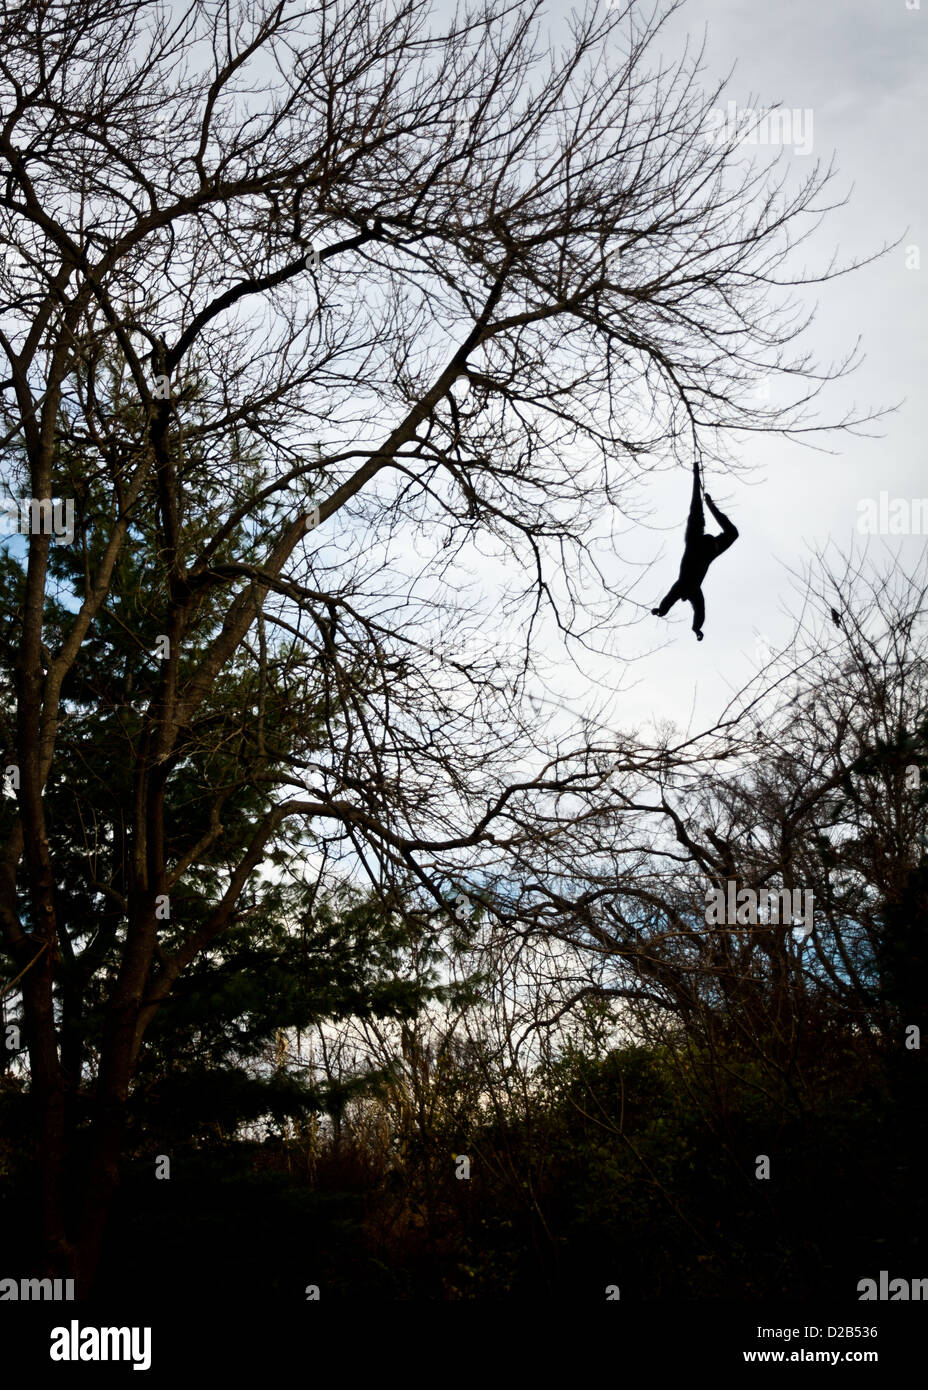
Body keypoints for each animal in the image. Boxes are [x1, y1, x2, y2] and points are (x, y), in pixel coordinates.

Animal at [651, 461, 738, 641]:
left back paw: (695, 628)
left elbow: (731, 533)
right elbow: (697, 513)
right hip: (682, 585)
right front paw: (697, 473)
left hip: (695, 591)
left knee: (699, 607)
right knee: (672, 597)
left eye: (712, 544)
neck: (702, 550)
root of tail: (686, 595)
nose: (714, 545)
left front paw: (708, 499)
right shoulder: (695, 536)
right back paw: (662, 610)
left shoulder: (714, 548)